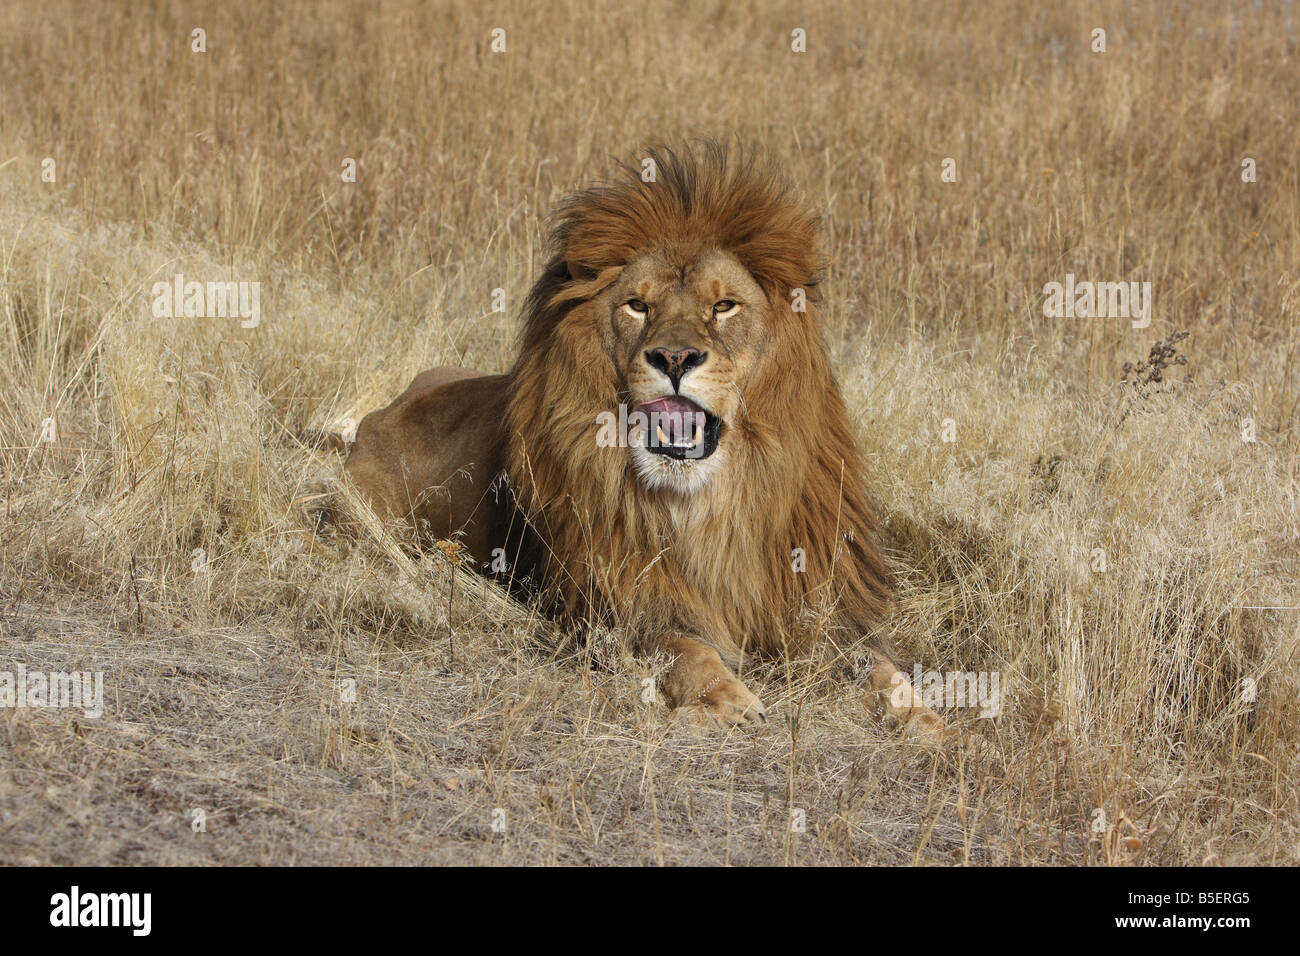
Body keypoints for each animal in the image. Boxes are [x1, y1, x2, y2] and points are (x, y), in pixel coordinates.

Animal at [343, 143, 946, 734]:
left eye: (723, 306)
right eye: (638, 305)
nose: (675, 358)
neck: (705, 505)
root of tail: (381, 410)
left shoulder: (818, 600)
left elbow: (880, 667)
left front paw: (927, 721)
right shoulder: (611, 601)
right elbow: (680, 646)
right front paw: (728, 699)